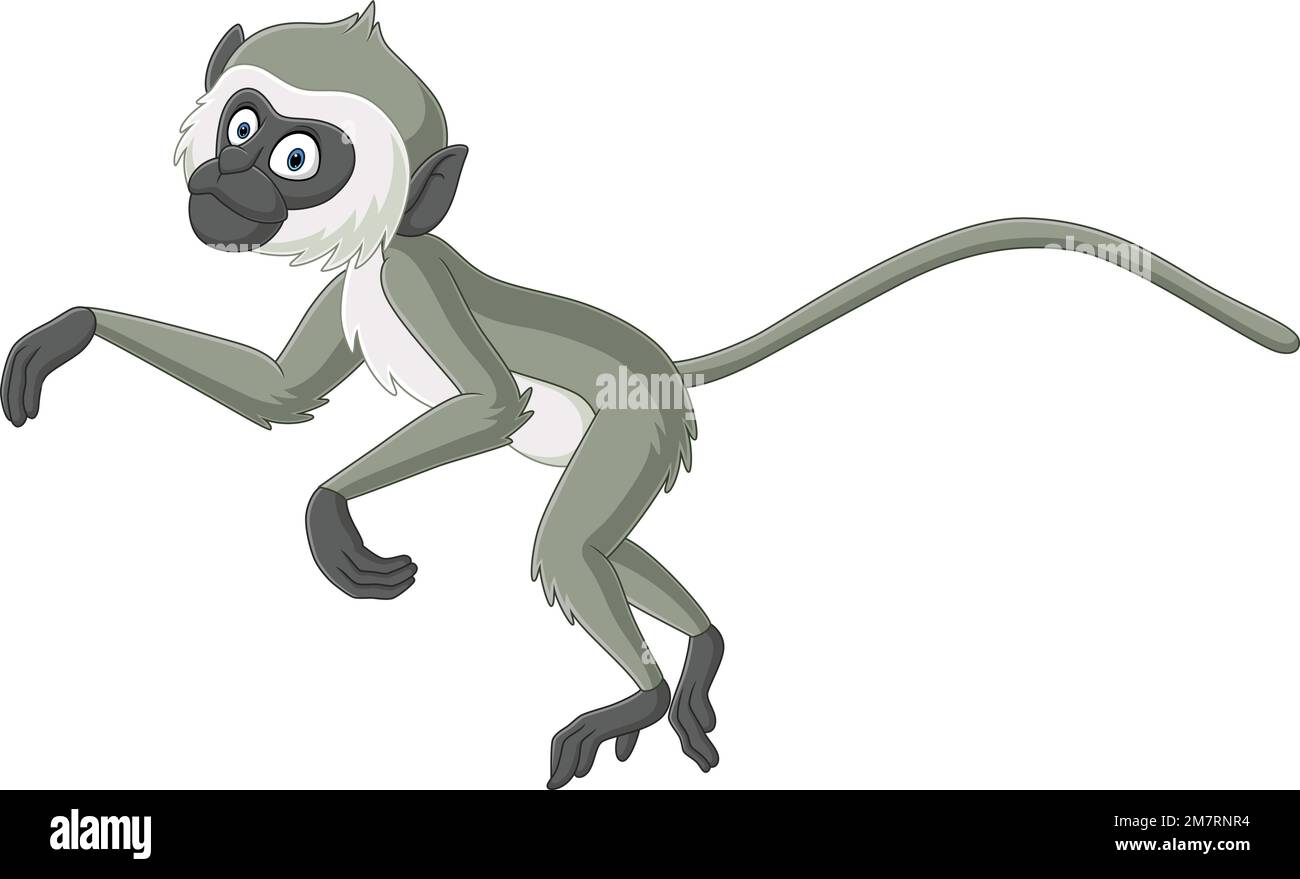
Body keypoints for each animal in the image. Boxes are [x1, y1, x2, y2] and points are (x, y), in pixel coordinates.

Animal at [3, 6, 1296, 790]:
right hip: (648, 445)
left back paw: (633, 695)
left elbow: (479, 409)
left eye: (293, 157)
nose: (227, 181)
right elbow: (280, 397)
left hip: (633, 428)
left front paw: (333, 516)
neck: (373, 258)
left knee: (567, 542)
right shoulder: (353, 291)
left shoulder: (412, 283)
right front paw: (68, 331)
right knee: (607, 549)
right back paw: (699, 657)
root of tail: (661, 362)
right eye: (241, 124)